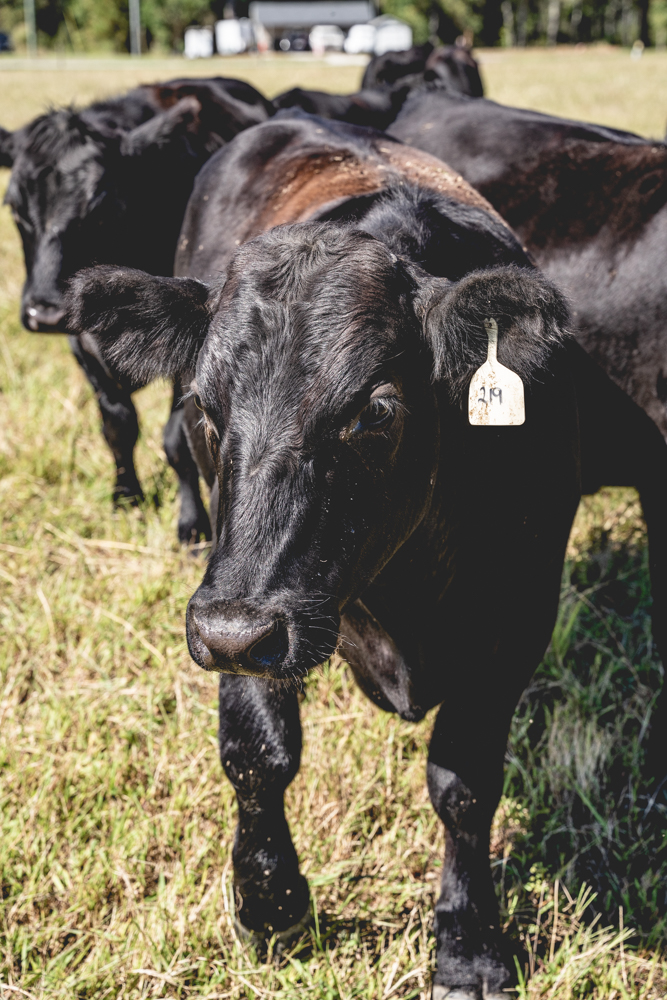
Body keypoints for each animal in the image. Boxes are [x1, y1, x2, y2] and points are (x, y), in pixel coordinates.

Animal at [0, 76, 274, 542]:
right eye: (15, 207)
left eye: (100, 206)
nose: (45, 313)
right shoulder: (83, 346)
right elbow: (117, 427)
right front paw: (125, 495)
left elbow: (176, 441)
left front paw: (190, 525)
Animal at [63, 116, 667, 998]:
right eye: (202, 405)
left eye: (374, 410)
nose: (231, 632)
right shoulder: (245, 600)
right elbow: (257, 754)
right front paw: (268, 903)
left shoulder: (518, 610)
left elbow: (462, 783)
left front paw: (467, 942)